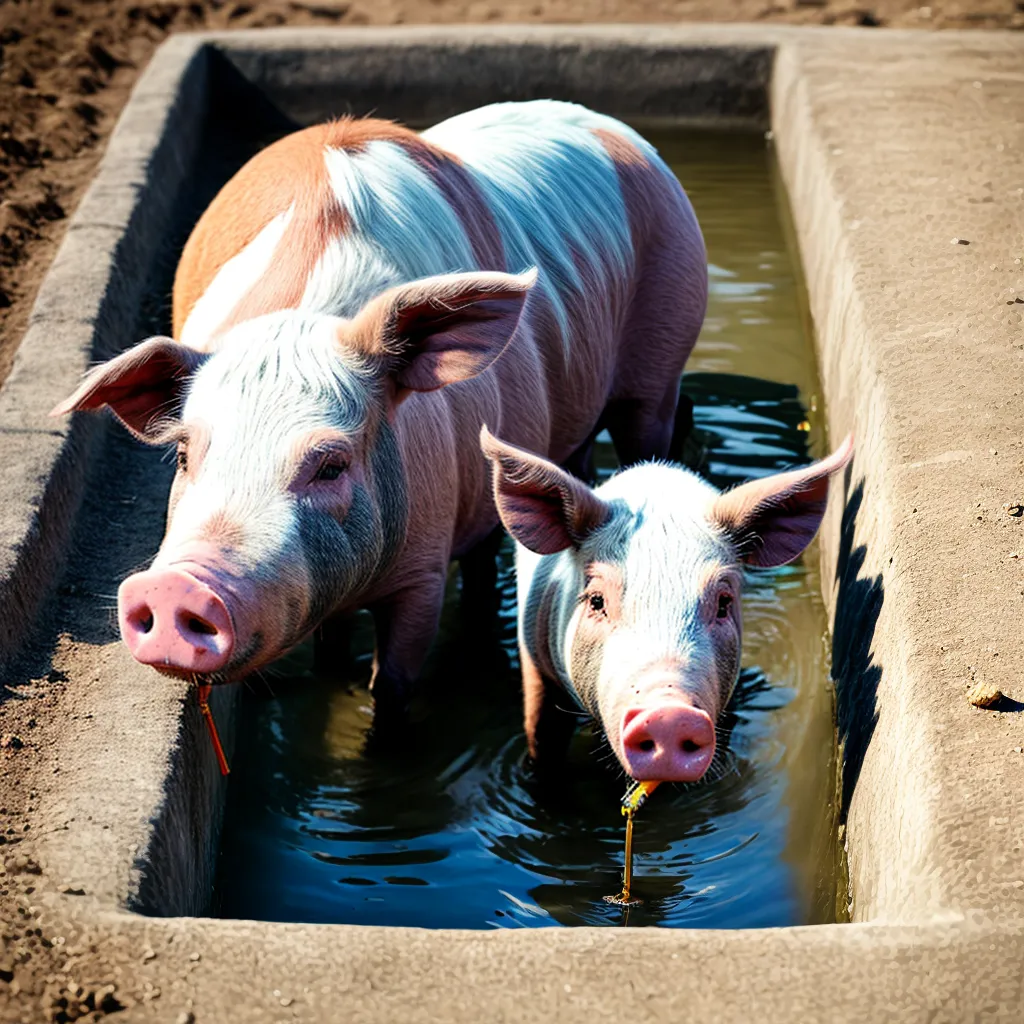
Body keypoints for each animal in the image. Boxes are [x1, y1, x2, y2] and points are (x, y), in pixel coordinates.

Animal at [51, 100, 708, 719]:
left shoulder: (423, 570)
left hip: (663, 351)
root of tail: (613, 129)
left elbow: (393, 685)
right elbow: (330, 653)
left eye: (331, 464)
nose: (174, 587)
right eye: (186, 454)